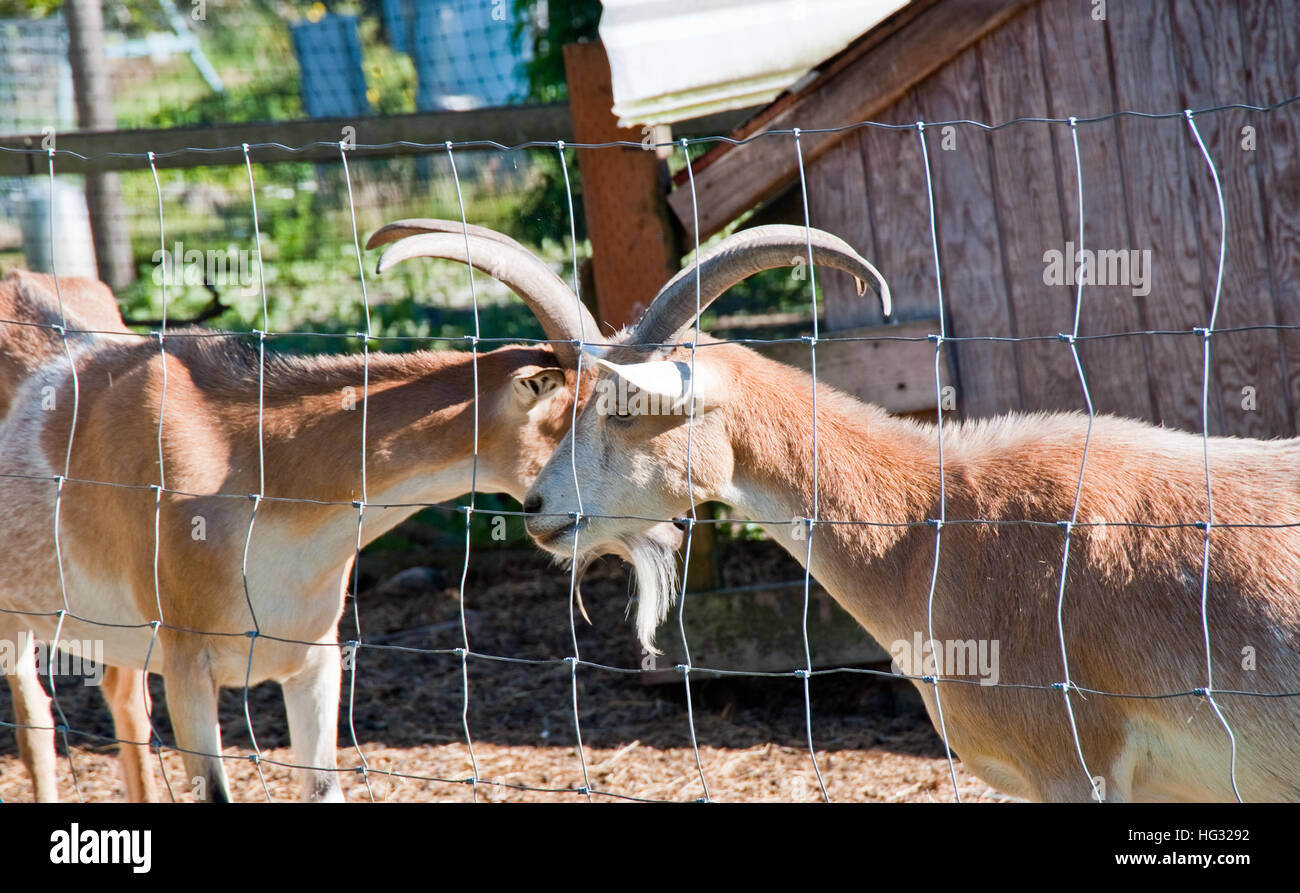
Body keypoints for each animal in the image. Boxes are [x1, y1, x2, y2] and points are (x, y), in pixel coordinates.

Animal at [0, 221, 677, 802]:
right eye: (582, 420)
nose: (669, 530)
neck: (251, 465)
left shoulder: (313, 661)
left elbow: (323, 786)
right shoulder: (188, 664)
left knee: (121, 700)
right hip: (19, 620)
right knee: (36, 725)